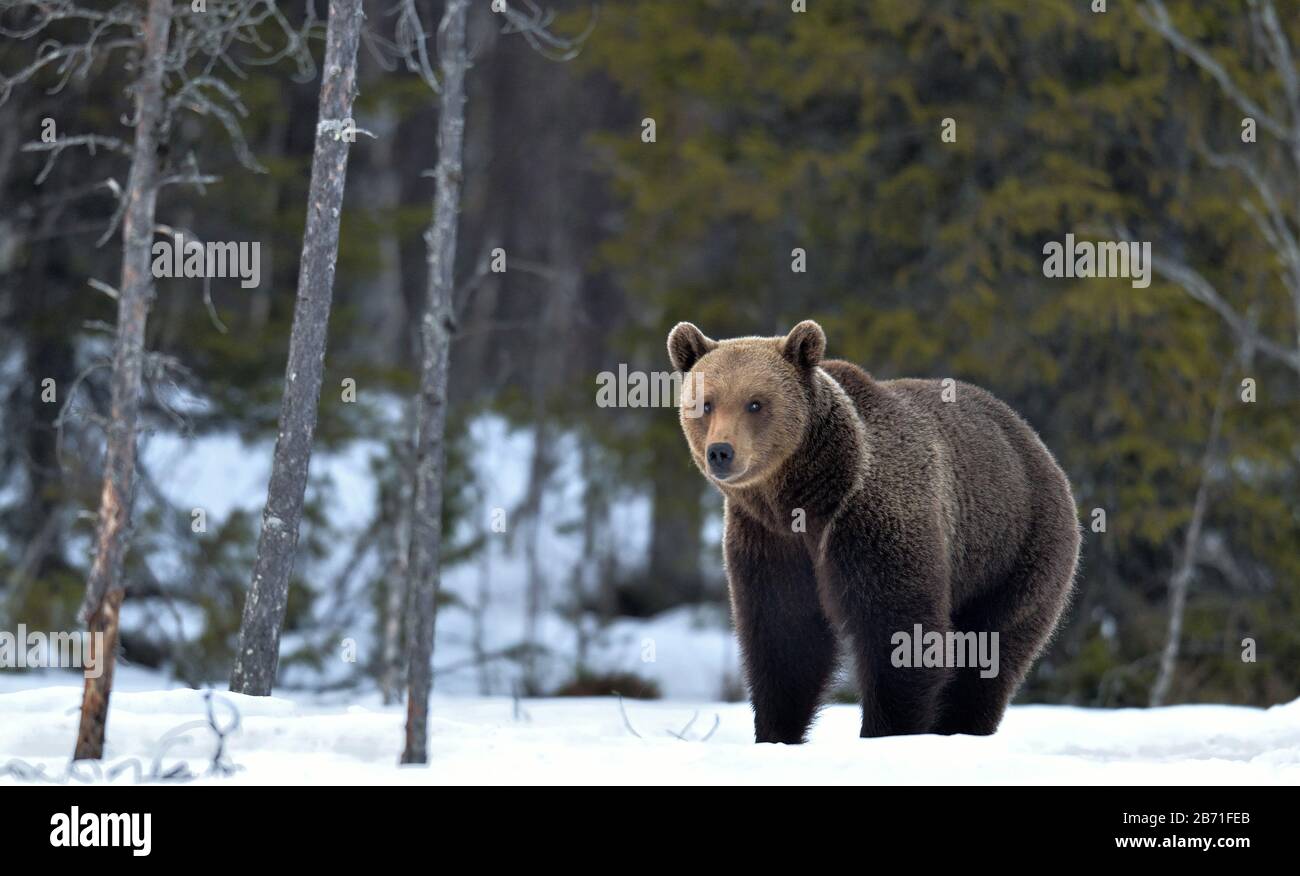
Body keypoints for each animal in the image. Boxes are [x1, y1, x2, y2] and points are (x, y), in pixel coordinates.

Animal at [667, 319, 1080, 743]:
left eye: (755, 403)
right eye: (706, 403)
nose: (721, 451)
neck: (803, 499)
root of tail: (1035, 443)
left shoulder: (873, 524)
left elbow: (900, 637)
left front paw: (885, 731)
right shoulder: (770, 541)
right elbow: (785, 640)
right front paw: (776, 732)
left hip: (1015, 551)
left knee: (990, 653)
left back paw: (961, 727)